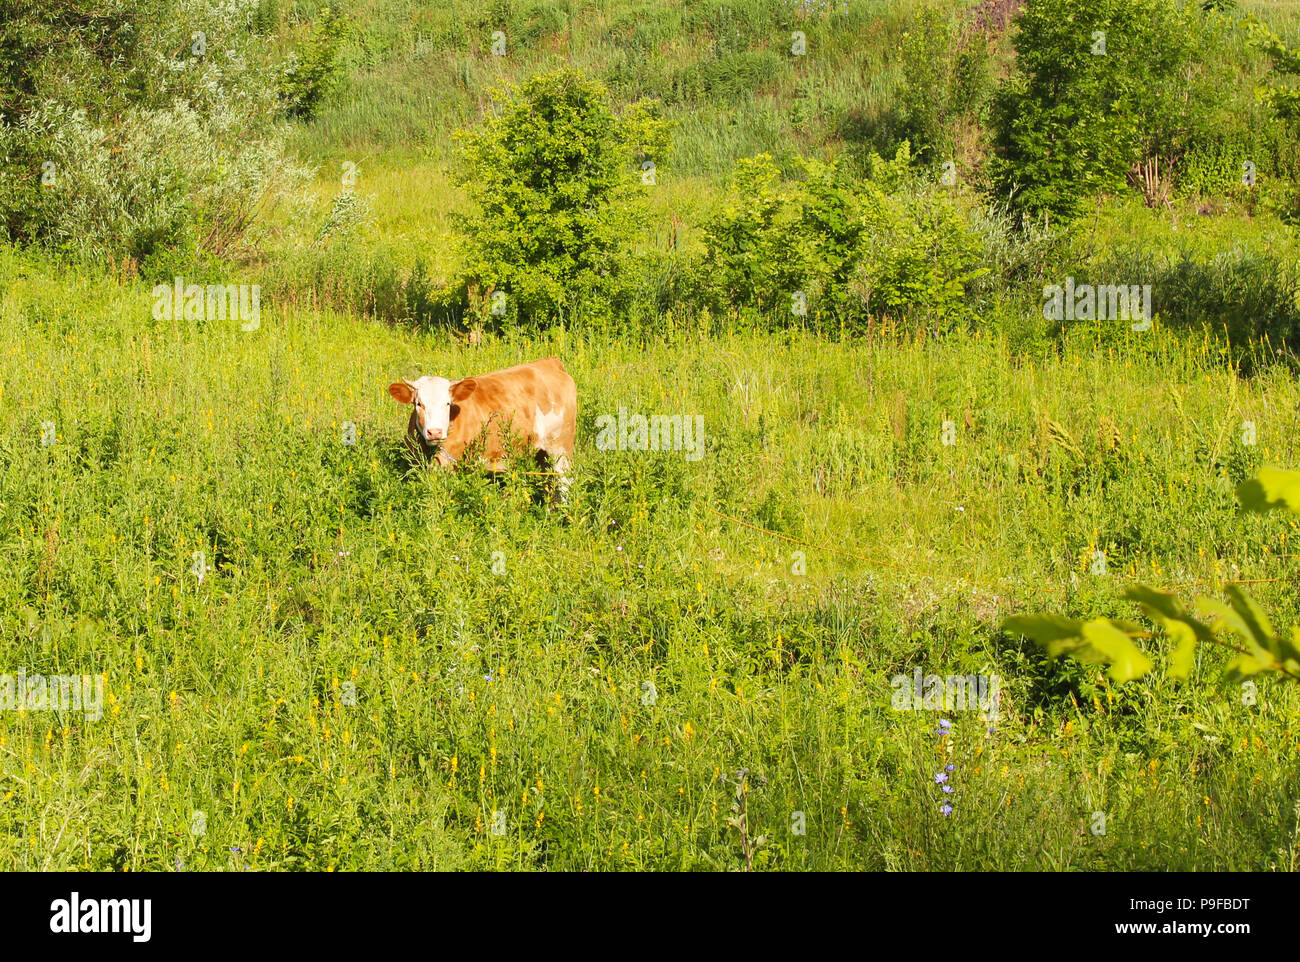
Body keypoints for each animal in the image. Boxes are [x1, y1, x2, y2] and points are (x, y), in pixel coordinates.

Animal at [388, 356, 576, 502]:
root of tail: (550, 362)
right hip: (541, 453)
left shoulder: (446, 462)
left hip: (561, 448)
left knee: (564, 482)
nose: (435, 432)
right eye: (419, 404)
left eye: (447, 403)